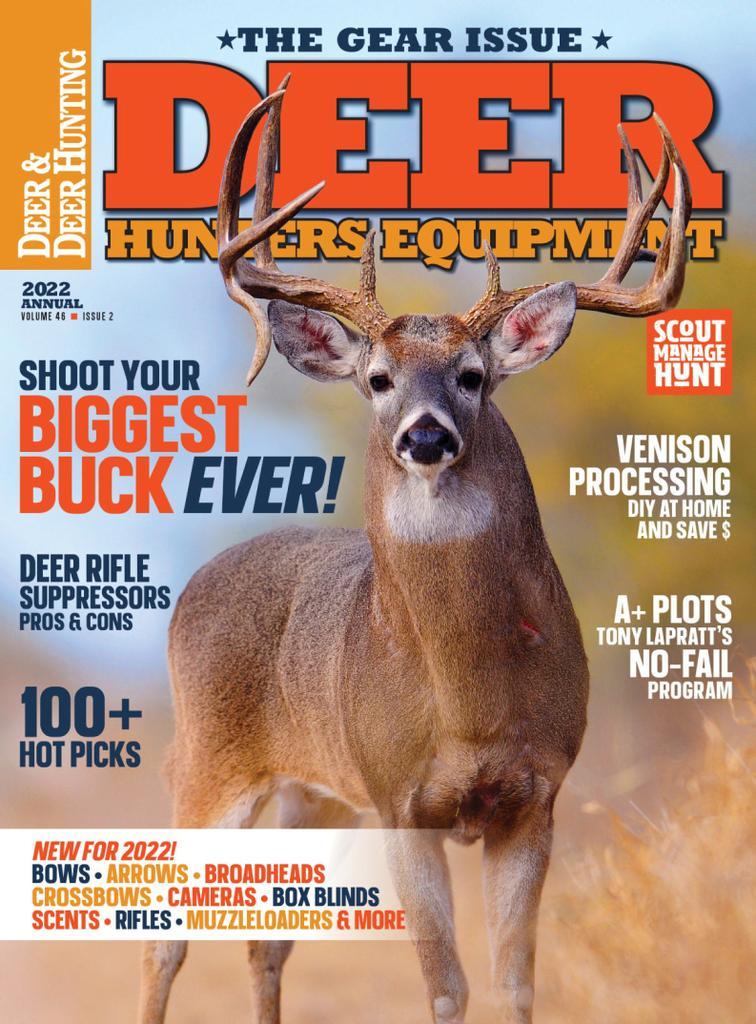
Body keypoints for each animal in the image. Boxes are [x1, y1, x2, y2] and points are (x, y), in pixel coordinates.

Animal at [138, 76, 690, 1024]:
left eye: (473, 375)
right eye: (377, 379)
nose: (425, 436)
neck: (469, 702)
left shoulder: (536, 797)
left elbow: (513, 981)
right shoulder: (400, 797)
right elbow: (444, 986)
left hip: (315, 798)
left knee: (266, 937)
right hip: (208, 762)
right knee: (164, 938)